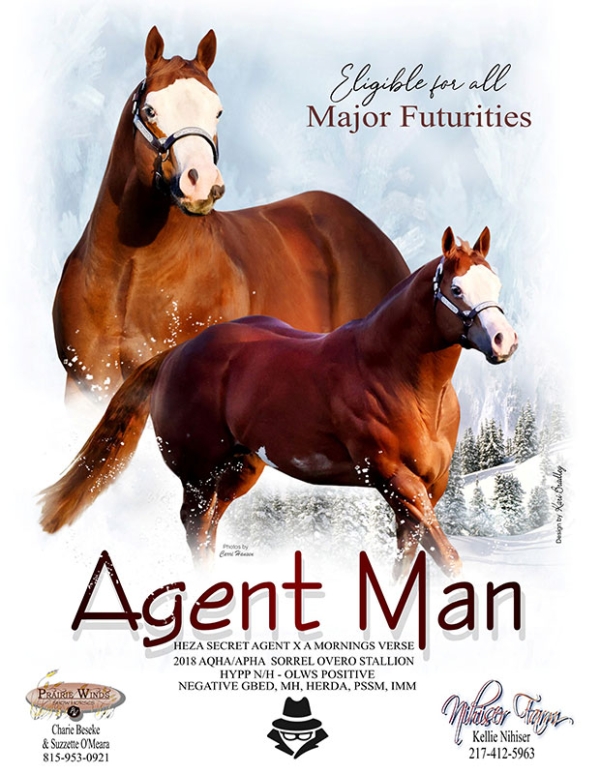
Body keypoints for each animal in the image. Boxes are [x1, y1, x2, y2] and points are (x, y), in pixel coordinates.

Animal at [41, 227, 517, 578]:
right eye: (456, 289)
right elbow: (447, 558)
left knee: (210, 528)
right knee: (195, 527)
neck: (396, 375)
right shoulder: (392, 476)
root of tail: (178, 352)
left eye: (495, 282)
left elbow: (410, 557)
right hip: (196, 474)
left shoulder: (430, 487)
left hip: (238, 469)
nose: (504, 340)